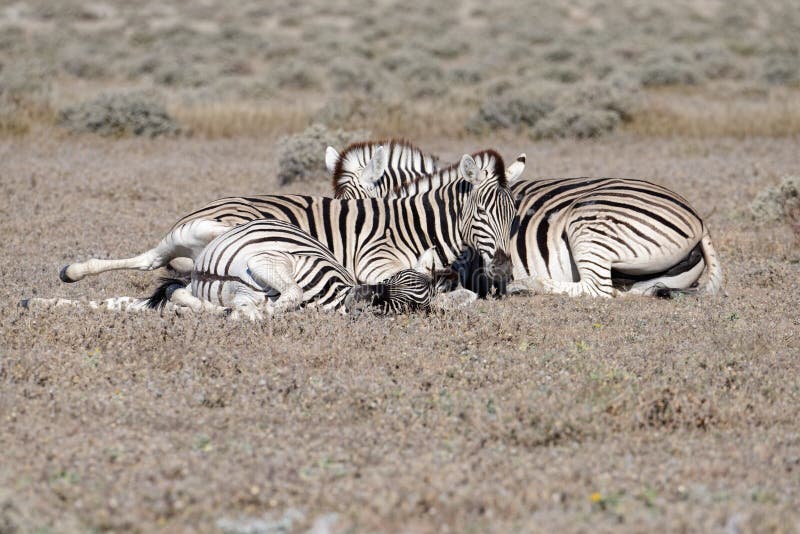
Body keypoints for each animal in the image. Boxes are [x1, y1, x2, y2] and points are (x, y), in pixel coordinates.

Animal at [59, 150, 520, 297]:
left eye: (513, 217)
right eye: (481, 213)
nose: (503, 269)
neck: (420, 226)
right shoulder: (372, 260)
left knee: (149, 261)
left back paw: (74, 271)